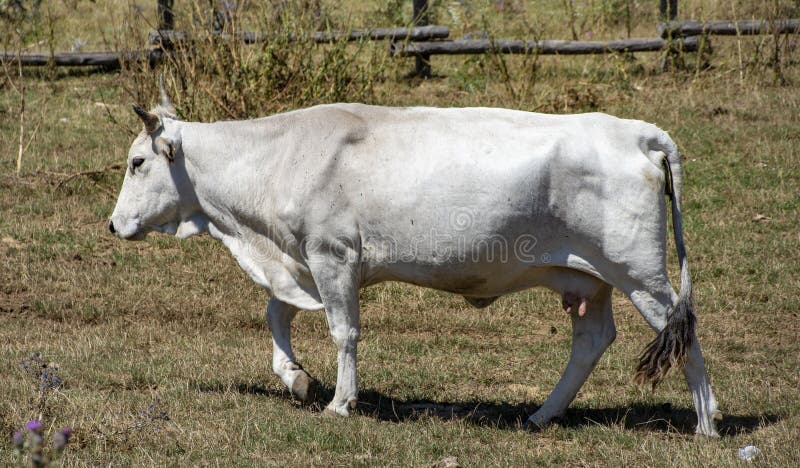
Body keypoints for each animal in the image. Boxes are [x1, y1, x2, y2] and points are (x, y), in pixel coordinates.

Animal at [109, 81, 720, 436]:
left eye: (138, 162)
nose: (113, 224)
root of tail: (637, 131)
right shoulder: (300, 263)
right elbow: (276, 315)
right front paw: (295, 378)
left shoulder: (332, 257)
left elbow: (343, 333)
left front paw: (340, 402)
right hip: (588, 279)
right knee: (591, 341)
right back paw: (541, 414)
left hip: (641, 273)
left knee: (680, 332)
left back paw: (707, 423)